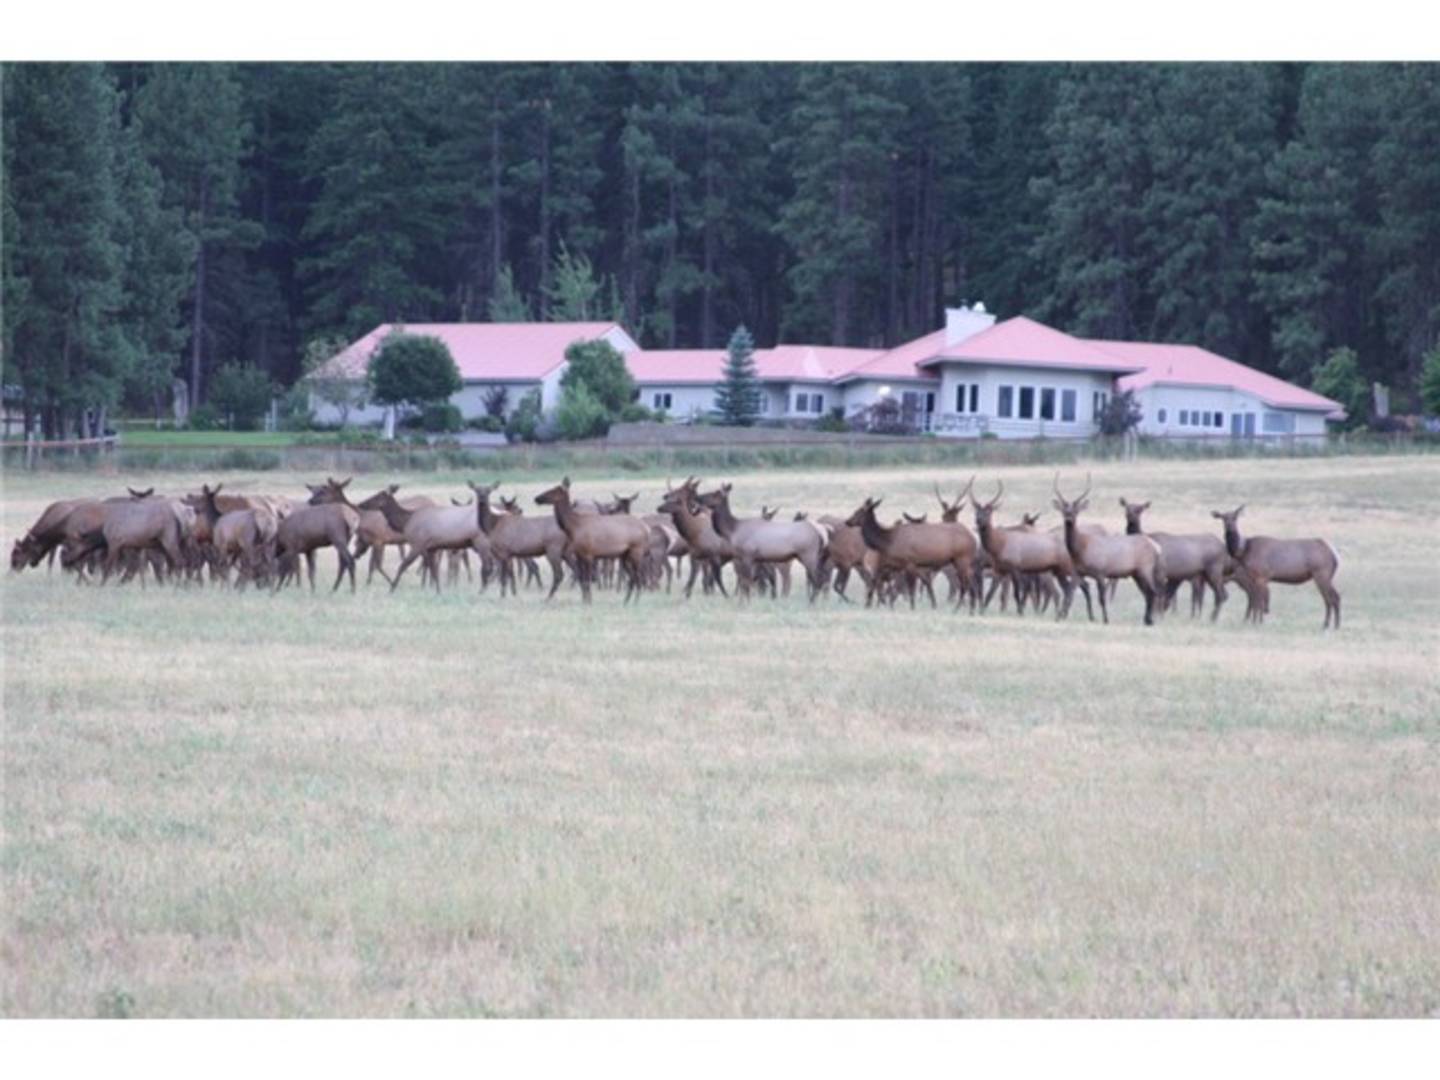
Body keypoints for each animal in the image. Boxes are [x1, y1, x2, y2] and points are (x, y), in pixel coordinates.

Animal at [1052, 475, 1166, 626]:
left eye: (1076, 511)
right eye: (1064, 510)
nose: (1069, 519)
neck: (1081, 550)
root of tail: (1156, 547)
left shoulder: (1100, 572)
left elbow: (1101, 598)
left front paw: (1106, 620)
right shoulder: (1077, 572)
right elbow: (1069, 594)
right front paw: (1058, 618)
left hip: (1145, 568)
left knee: (1154, 591)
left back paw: (1150, 620)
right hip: (1136, 573)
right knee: (1148, 593)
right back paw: (1147, 619)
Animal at [1211, 506, 1341, 629]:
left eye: (1235, 517)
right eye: (1223, 518)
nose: (1230, 528)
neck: (1244, 551)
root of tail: (1335, 555)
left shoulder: (1261, 576)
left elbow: (1260, 602)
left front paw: (1259, 622)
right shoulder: (1254, 578)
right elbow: (1258, 601)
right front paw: (1255, 622)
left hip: (1321, 573)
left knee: (1331, 598)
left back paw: (1329, 625)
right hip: (1325, 576)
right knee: (1333, 597)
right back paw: (1334, 625)